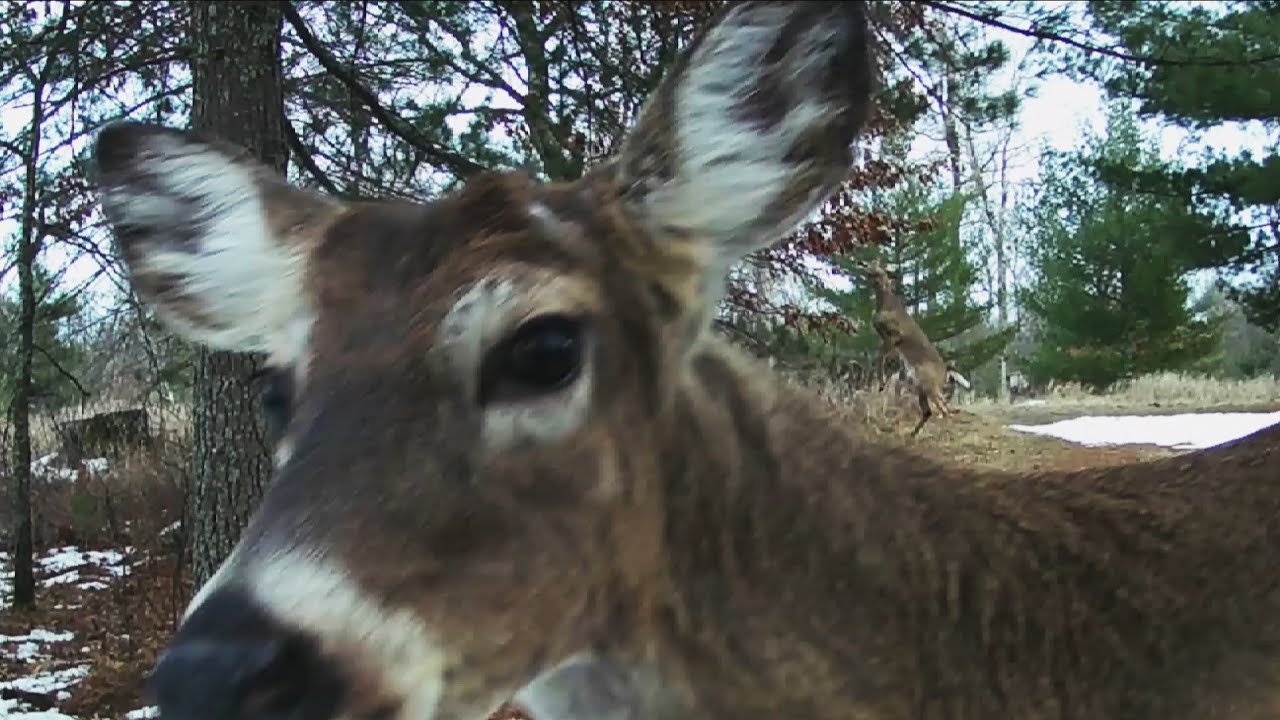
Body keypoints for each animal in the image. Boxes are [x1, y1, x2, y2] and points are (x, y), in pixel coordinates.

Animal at [859, 260, 964, 436]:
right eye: (870, 265)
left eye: (877, 267)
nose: (863, 264)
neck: (885, 304)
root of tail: (945, 373)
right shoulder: (886, 339)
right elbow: (879, 358)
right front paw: (881, 383)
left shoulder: (894, 336)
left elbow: (879, 358)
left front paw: (881, 382)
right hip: (923, 388)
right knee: (930, 411)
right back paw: (911, 434)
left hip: (929, 384)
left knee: (943, 408)